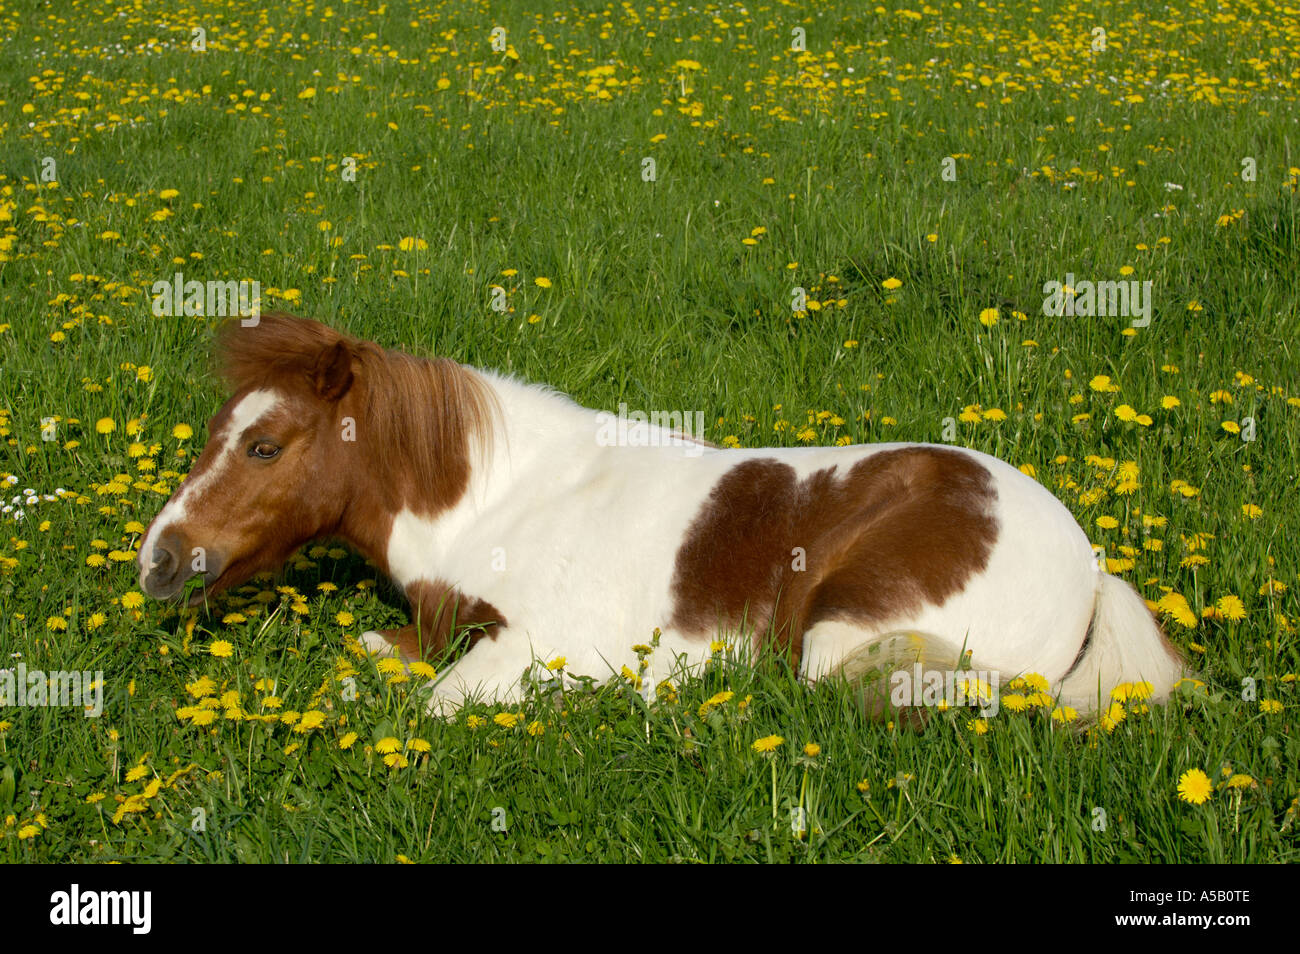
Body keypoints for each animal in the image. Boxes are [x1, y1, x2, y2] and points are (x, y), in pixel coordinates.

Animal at [137, 312, 1185, 716]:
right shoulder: (425, 633)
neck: (497, 507)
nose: (159, 560)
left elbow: (433, 702)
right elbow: (367, 667)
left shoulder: (532, 652)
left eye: (264, 446)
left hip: (845, 644)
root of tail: (1089, 566)